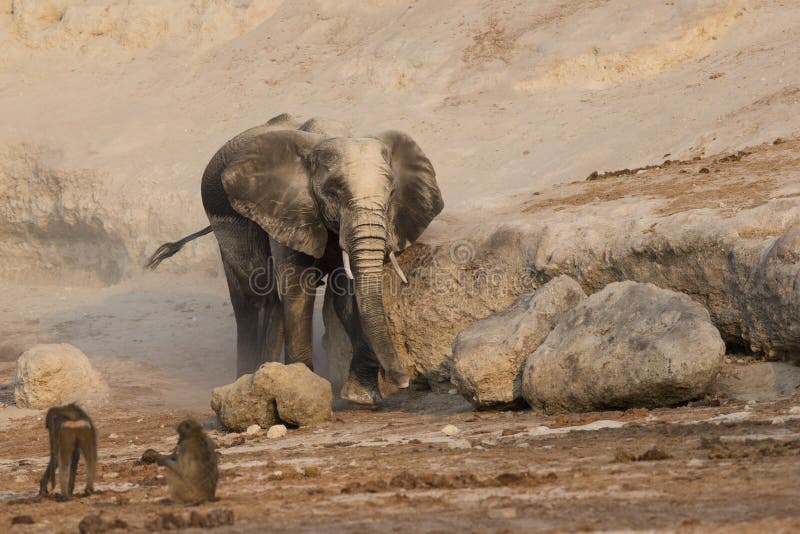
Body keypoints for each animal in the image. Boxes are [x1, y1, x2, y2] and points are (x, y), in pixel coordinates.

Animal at [147, 114, 444, 404]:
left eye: (392, 193)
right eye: (334, 192)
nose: (404, 381)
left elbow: (347, 295)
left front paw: (361, 397)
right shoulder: (286, 209)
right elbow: (299, 287)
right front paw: (305, 389)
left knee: (273, 302)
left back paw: (263, 372)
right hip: (226, 227)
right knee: (251, 299)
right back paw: (244, 379)